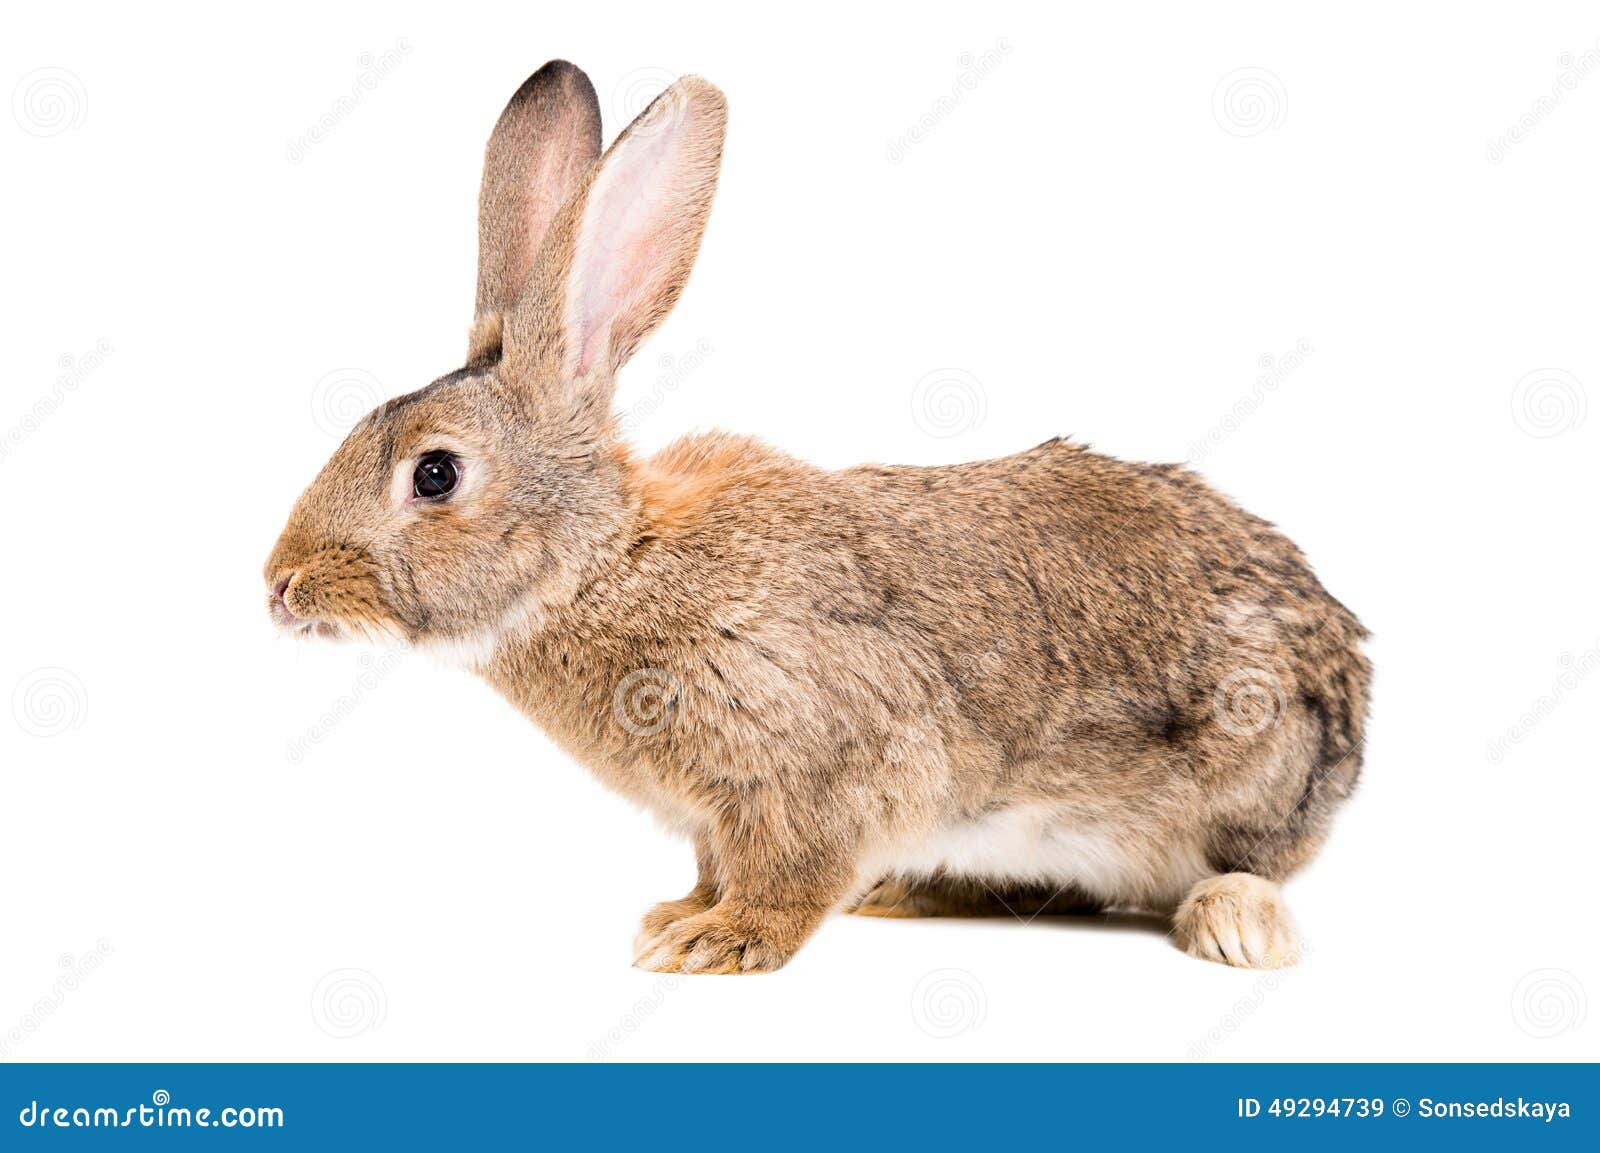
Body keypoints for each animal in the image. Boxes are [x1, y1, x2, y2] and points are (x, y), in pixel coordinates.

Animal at [265, 60, 1370, 974]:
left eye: (435, 474)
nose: (279, 584)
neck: (606, 563)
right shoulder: (715, 816)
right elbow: (715, 864)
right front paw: (678, 915)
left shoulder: (819, 769)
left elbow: (789, 875)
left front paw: (713, 944)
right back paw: (912, 892)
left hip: (1246, 761)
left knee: (1247, 866)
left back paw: (1233, 925)